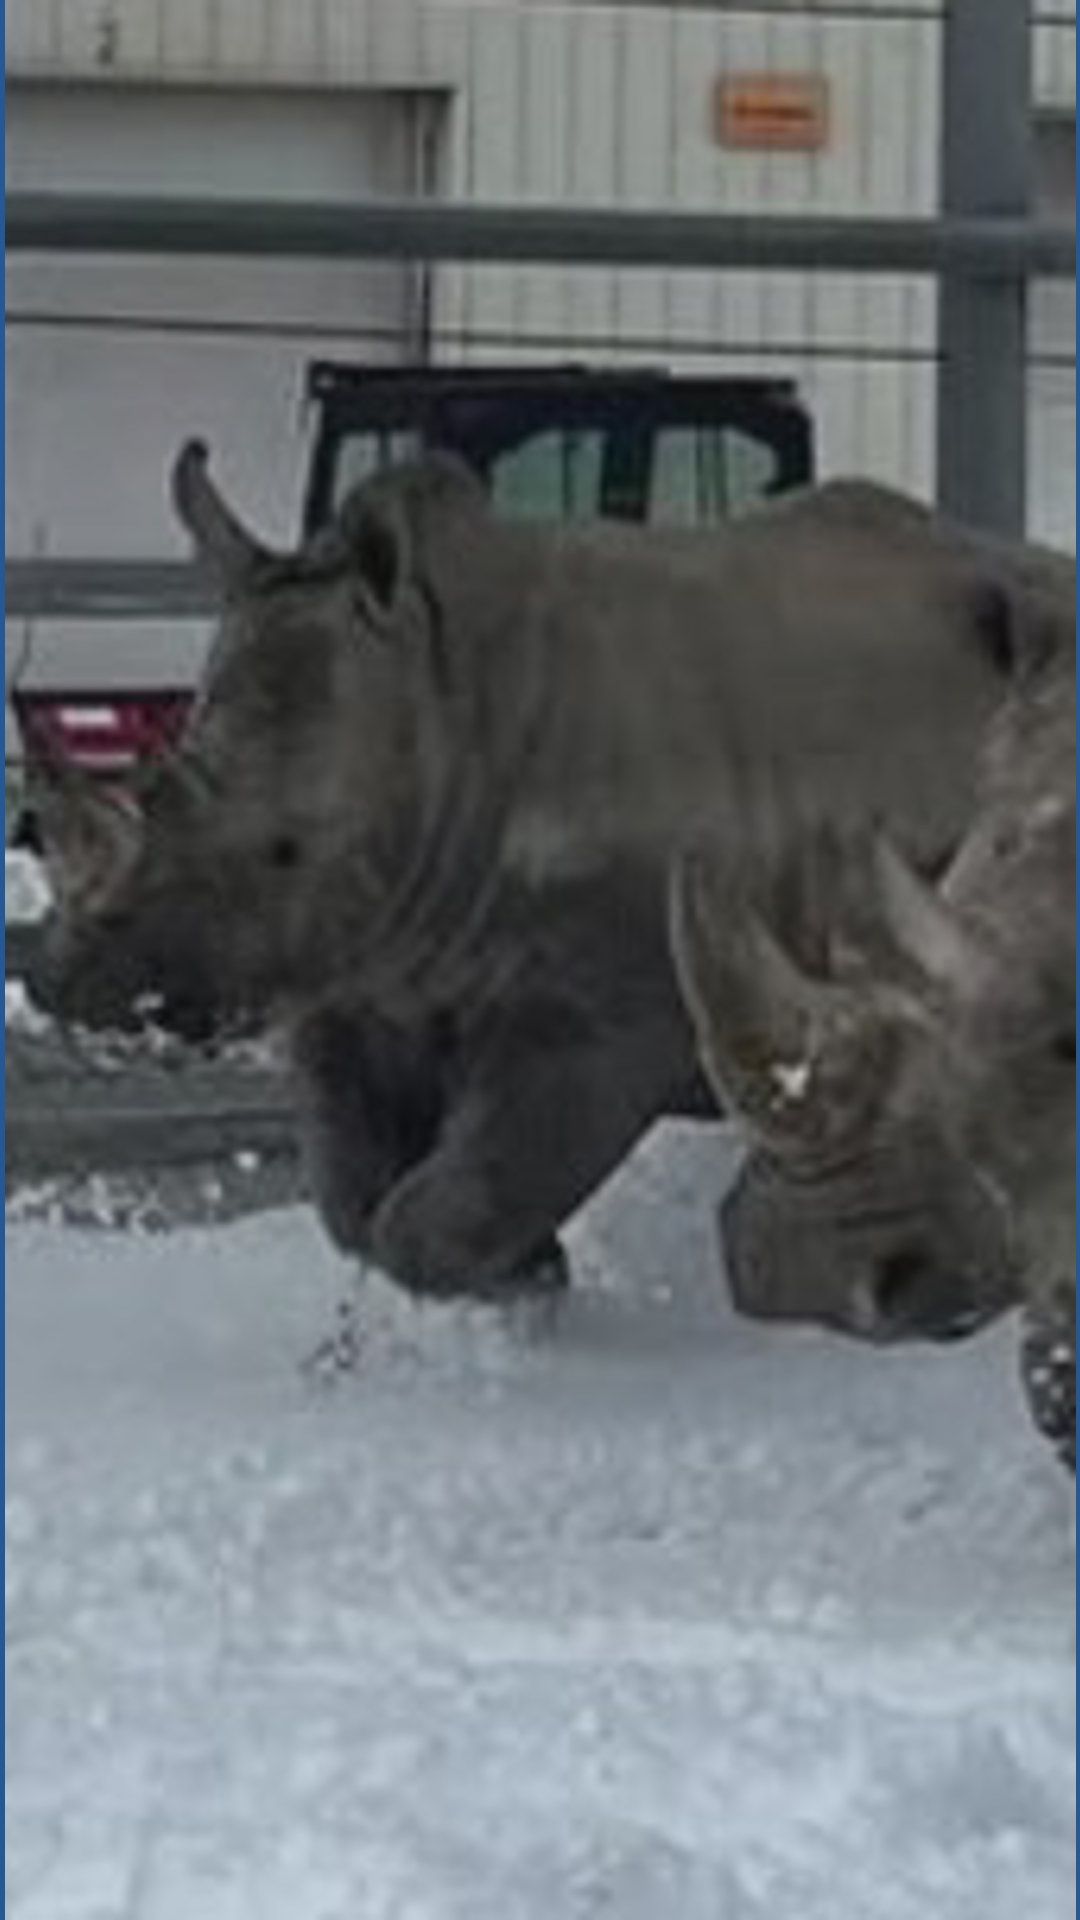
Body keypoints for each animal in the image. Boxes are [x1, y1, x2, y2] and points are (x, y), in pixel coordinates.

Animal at [27, 442, 1072, 1325]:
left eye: (284, 849)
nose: (71, 989)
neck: (442, 708)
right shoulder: (358, 971)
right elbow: (351, 1197)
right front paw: (526, 1277)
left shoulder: (604, 1020)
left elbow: (451, 1198)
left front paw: (512, 1284)